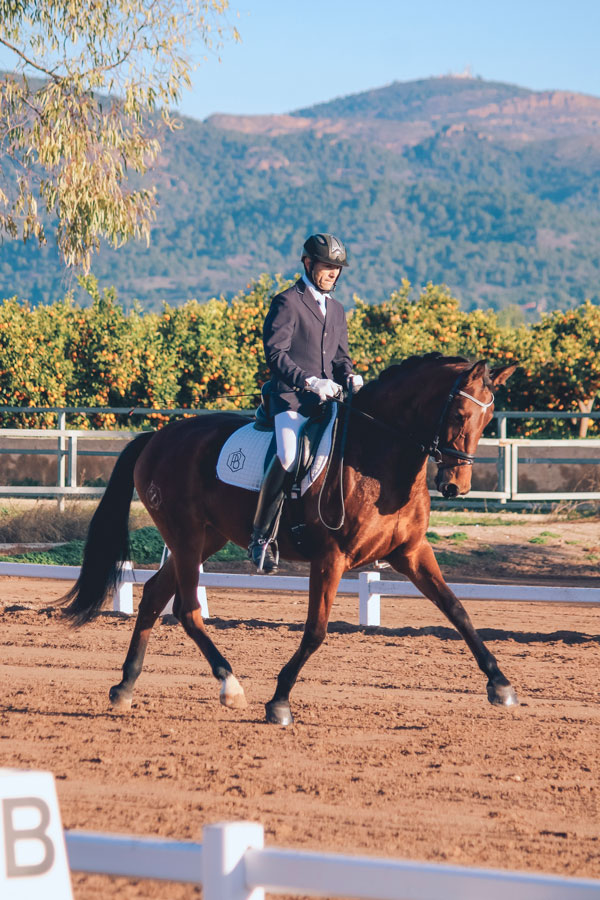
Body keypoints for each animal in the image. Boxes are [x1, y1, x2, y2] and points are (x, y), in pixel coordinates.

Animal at [62, 352, 518, 726]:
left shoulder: (412, 552)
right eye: (459, 414)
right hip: (186, 536)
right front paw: (279, 701)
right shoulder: (331, 557)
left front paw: (500, 684)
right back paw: (230, 685)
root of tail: (156, 437)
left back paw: (125, 687)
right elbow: (315, 630)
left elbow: (457, 610)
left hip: (205, 538)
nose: (456, 486)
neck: (378, 458)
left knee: (156, 595)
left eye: (487, 419)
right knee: (187, 610)